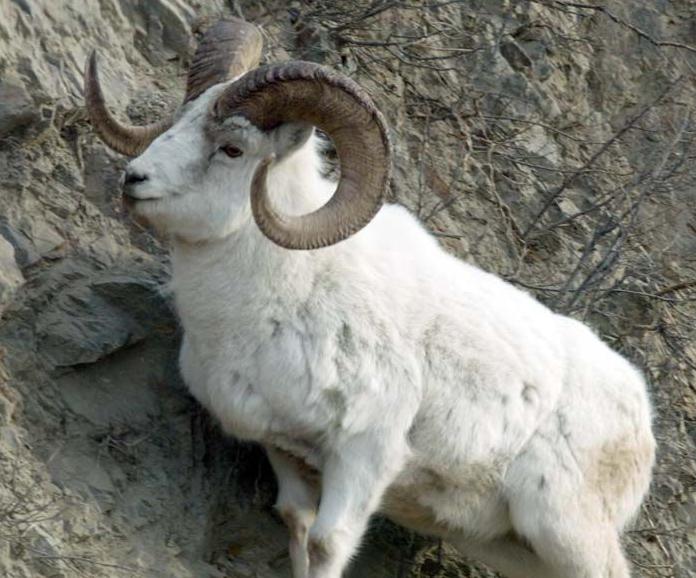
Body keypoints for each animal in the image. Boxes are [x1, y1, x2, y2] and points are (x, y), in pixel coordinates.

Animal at [84, 17, 656, 578]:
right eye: (180, 120)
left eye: (231, 149)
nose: (134, 179)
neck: (277, 301)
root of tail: (640, 413)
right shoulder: (285, 449)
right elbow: (296, 524)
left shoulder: (365, 455)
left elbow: (326, 545)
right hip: (519, 548)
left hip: (568, 535)